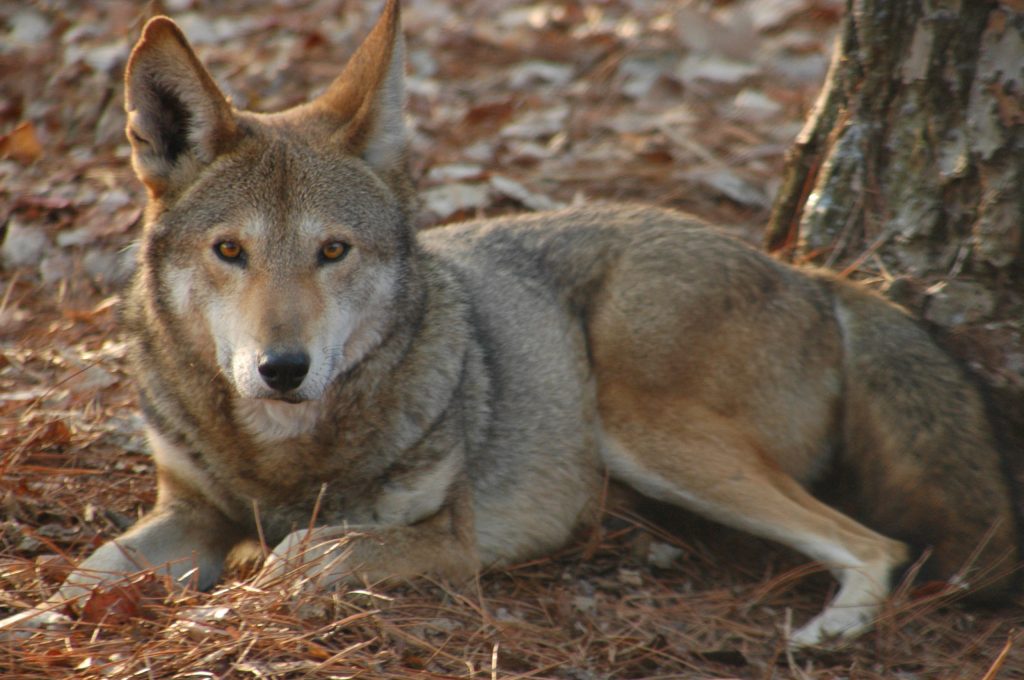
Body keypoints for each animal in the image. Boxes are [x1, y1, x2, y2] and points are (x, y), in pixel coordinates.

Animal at [1, 0, 1018, 647]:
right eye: (230, 251)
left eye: (332, 251)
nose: (281, 367)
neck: (280, 456)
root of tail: (811, 275)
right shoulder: (186, 513)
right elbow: (87, 574)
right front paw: (37, 623)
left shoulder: (443, 541)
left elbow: (305, 550)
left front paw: (243, 597)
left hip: (650, 433)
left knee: (877, 546)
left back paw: (829, 633)